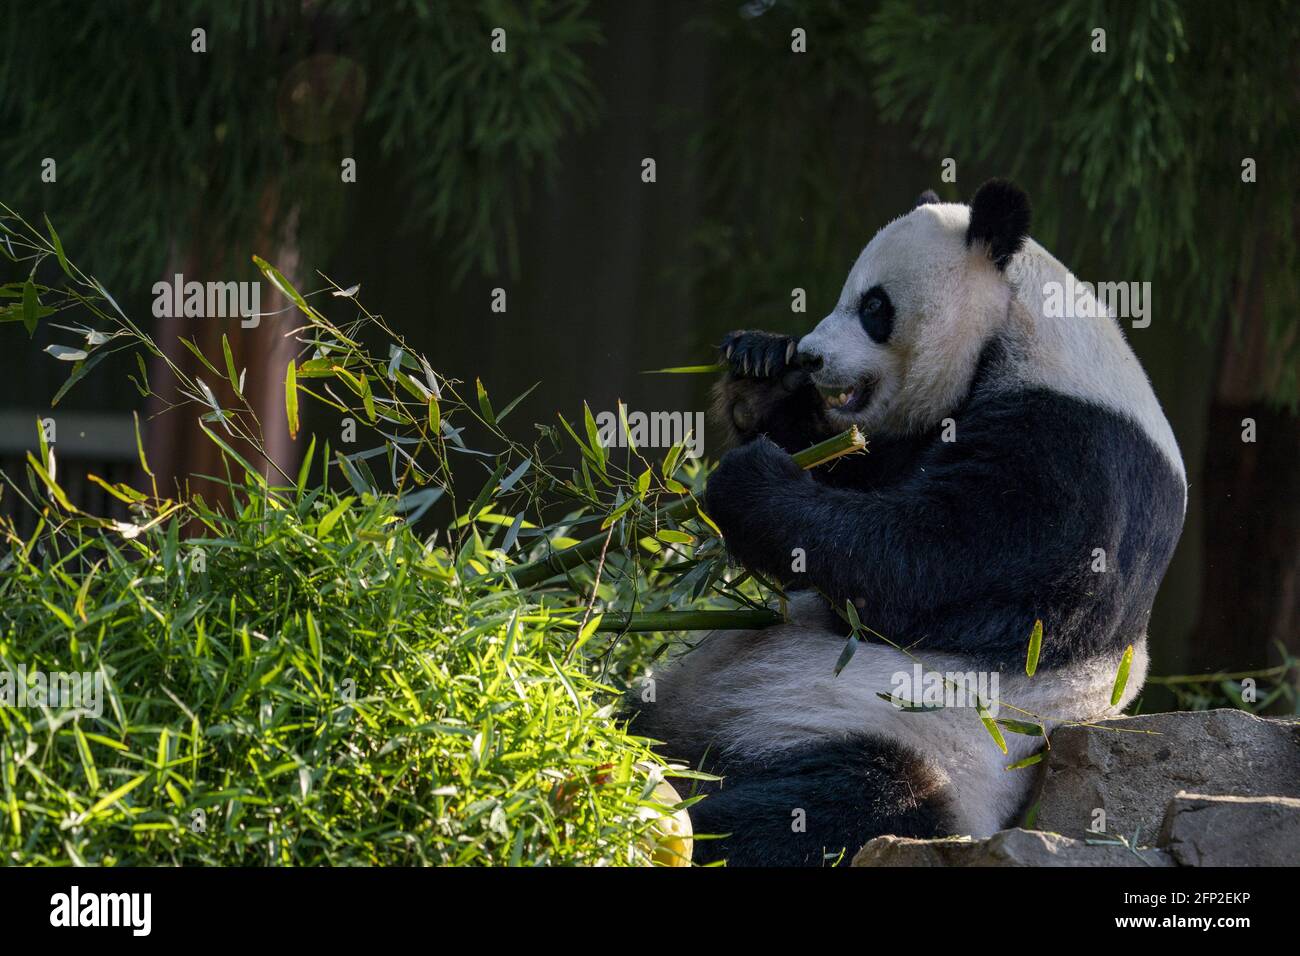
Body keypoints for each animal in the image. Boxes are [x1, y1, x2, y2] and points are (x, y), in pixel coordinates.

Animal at [630, 180, 1187, 867]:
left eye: (875, 306)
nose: (811, 356)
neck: (1024, 329)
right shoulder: (914, 437)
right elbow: (857, 472)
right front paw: (760, 368)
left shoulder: (1083, 460)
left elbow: (936, 567)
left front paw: (748, 481)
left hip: (900, 740)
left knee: (832, 804)